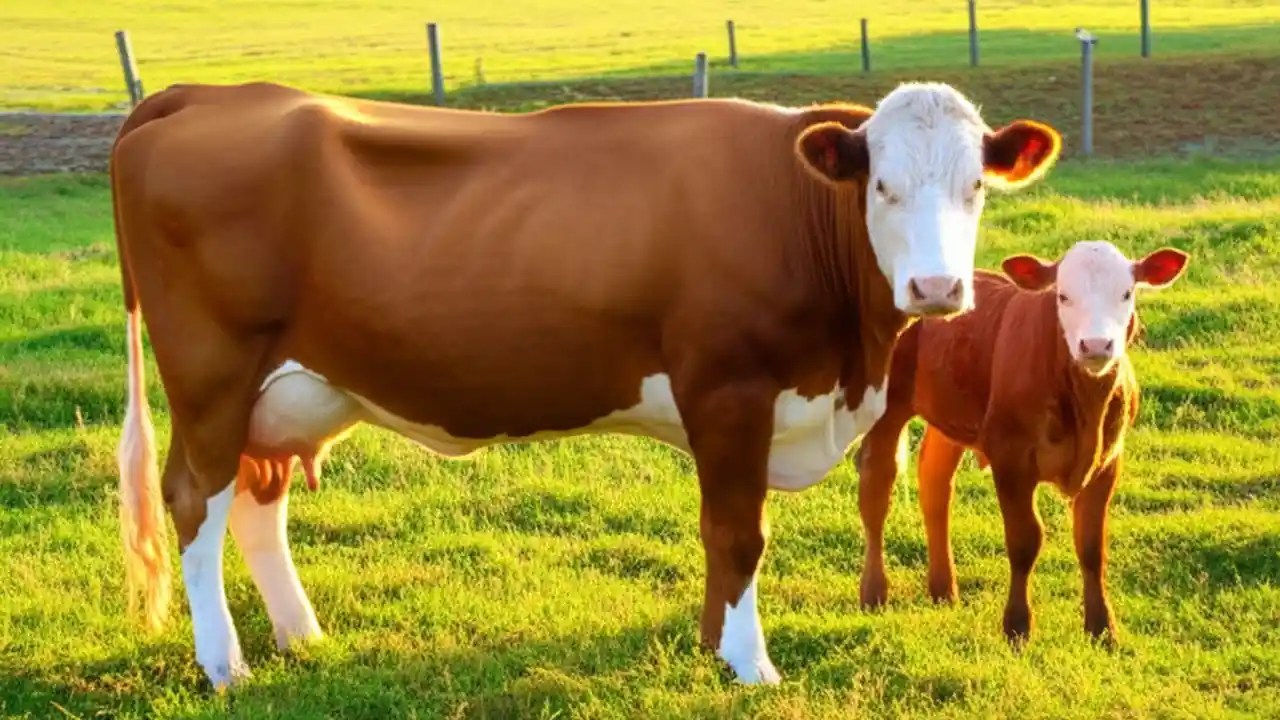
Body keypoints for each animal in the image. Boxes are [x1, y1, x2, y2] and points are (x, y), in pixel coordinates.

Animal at [109, 79, 1062, 689]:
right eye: (883, 185)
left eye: (976, 187)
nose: (936, 289)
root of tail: (207, 93)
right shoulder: (730, 390)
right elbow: (738, 534)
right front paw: (750, 664)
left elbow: (715, 535)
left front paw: (711, 648)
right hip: (213, 377)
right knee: (195, 501)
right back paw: (223, 664)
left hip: (281, 393)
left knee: (256, 504)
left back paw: (300, 638)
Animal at [854, 239, 1190, 644]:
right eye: (1063, 296)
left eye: (1126, 293)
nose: (1096, 346)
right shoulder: (1010, 460)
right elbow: (1025, 540)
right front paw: (1017, 627)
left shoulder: (1109, 461)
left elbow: (1092, 545)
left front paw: (1102, 628)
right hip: (885, 410)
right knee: (877, 489)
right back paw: (874, 592)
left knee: (934, 484)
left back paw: (943, 589)